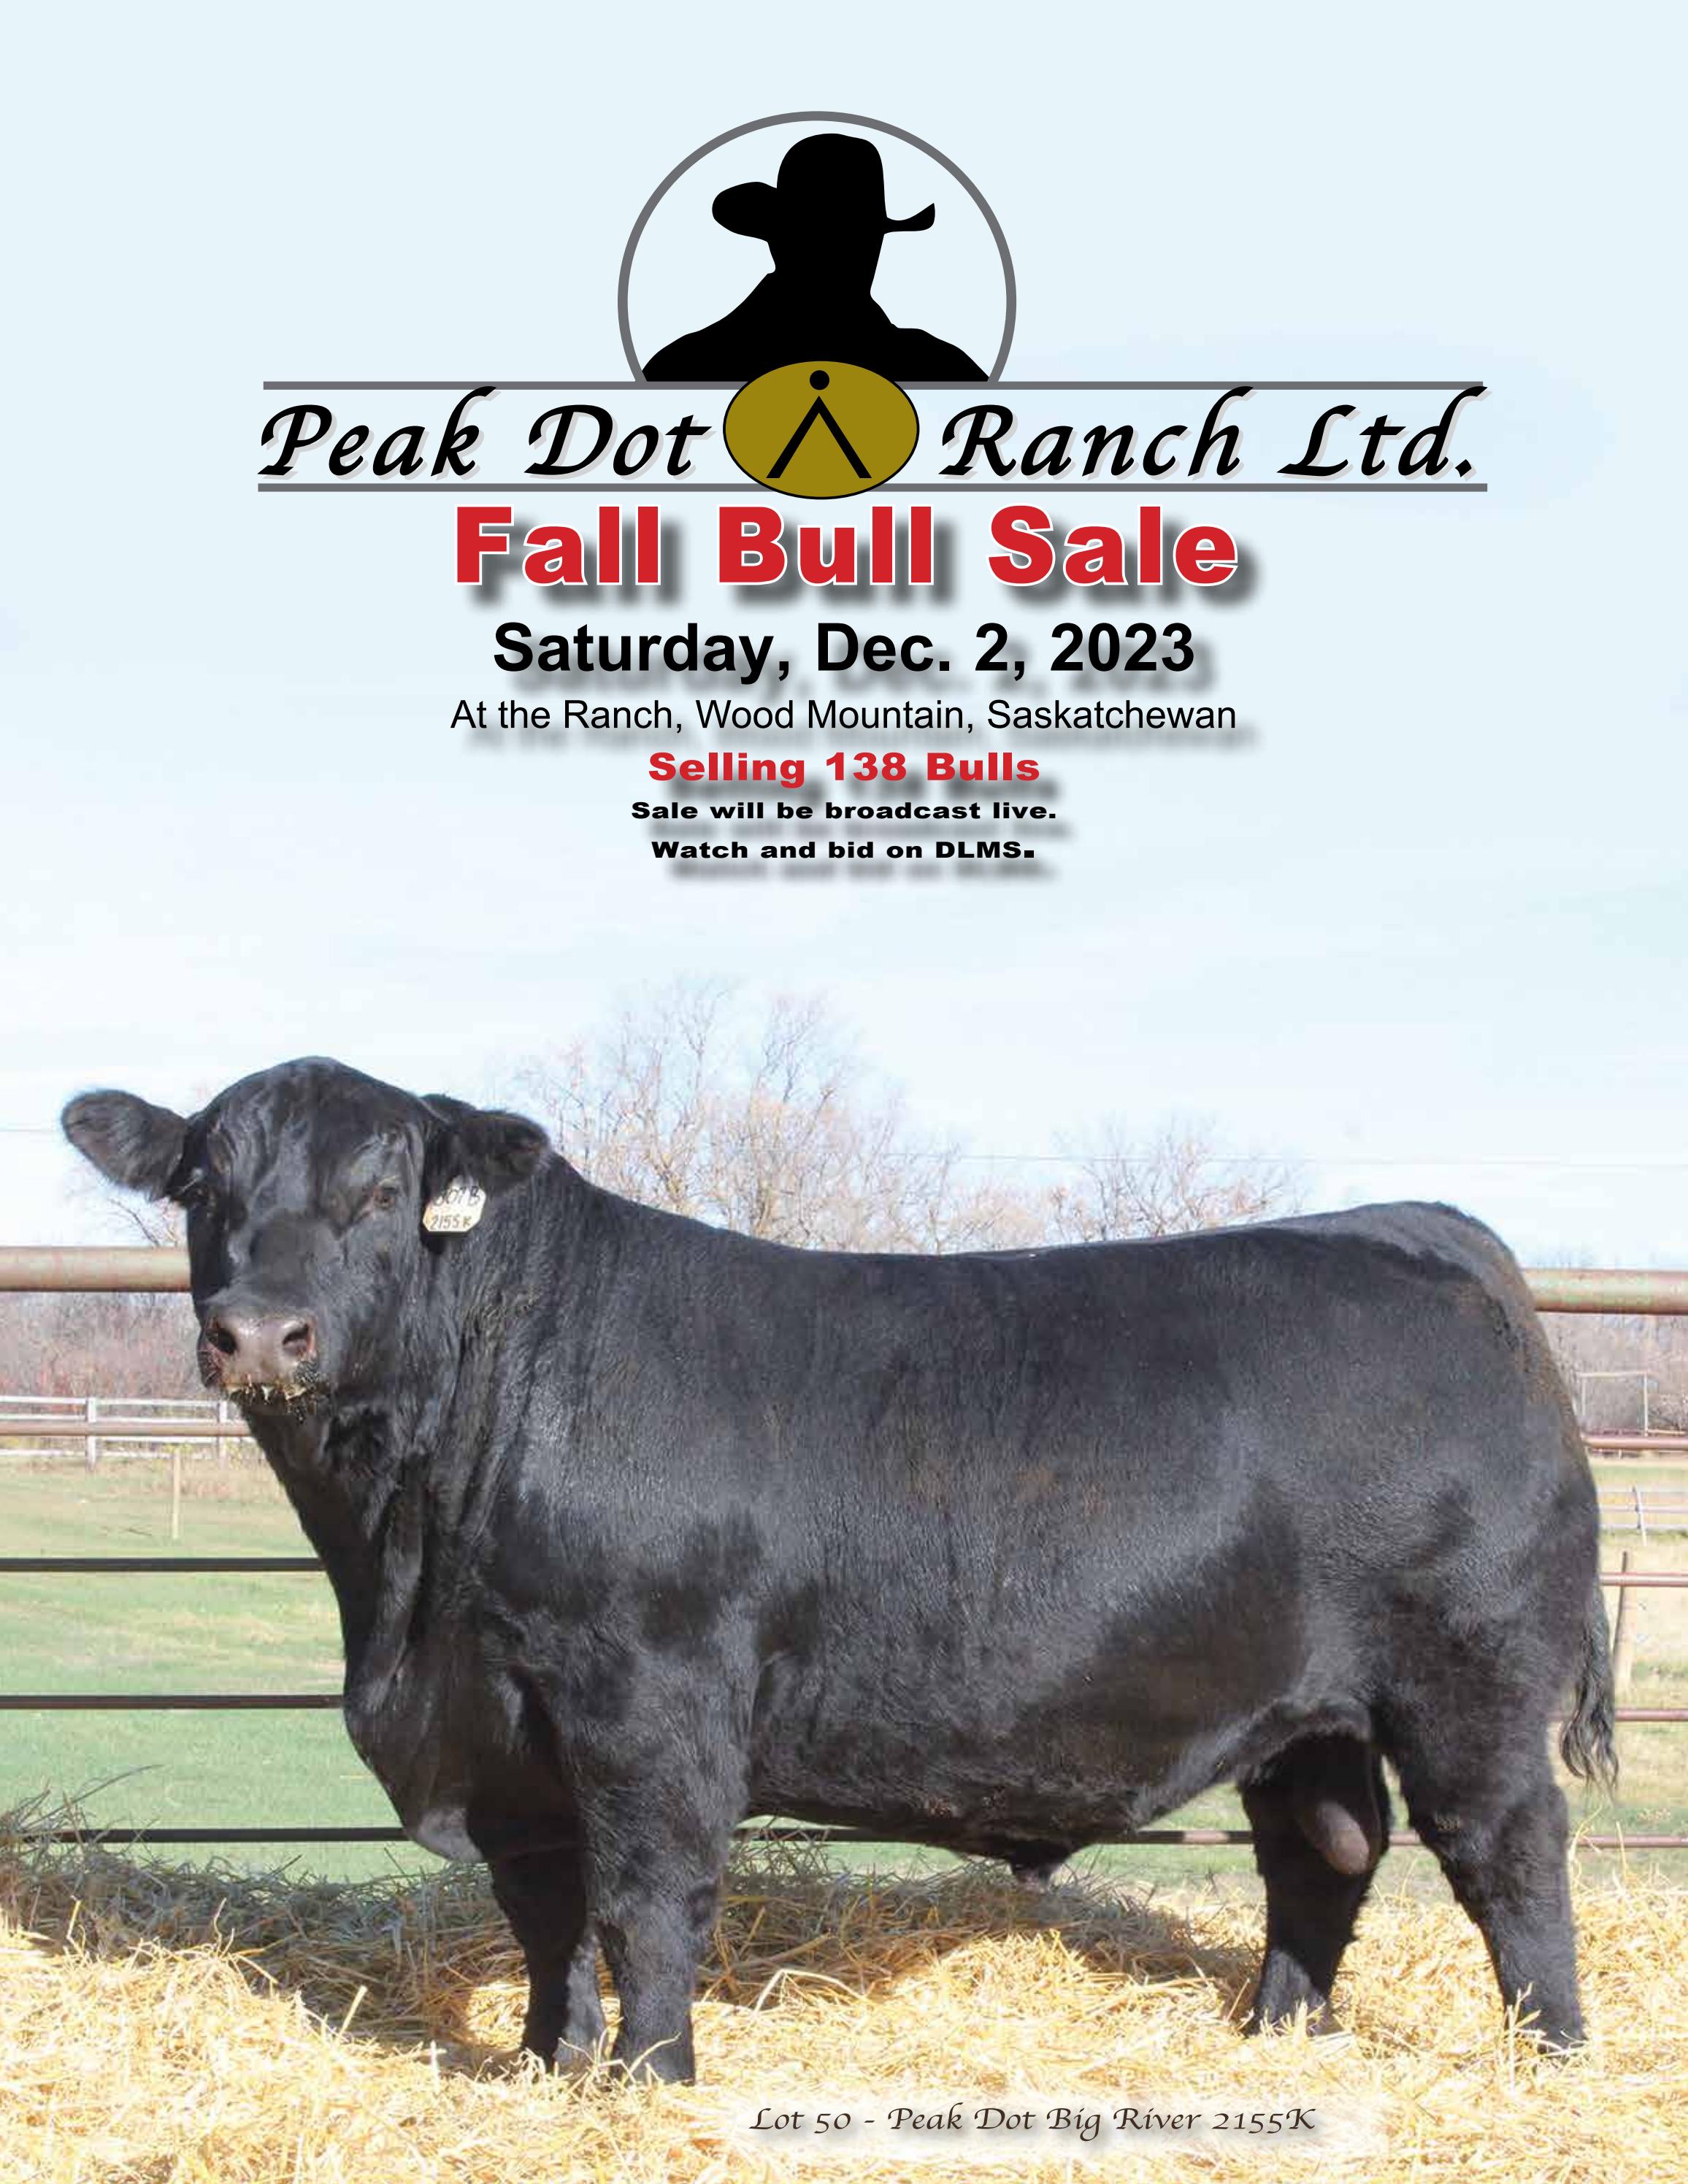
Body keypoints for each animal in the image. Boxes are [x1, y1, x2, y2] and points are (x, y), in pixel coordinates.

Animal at [62, 1057, 1615, 2081]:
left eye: (384, 1191)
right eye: (202, 1183)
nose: (260, 1332)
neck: (405, 1589)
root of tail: (1425, 1229)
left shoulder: (649, 1693)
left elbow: (646, 1898)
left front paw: (654, 2079)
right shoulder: (504, 1732)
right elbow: (546, 1907)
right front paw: (551, 2067)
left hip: (1467, 1674)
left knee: (1505, 1849)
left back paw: (1550, 2052)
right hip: (1304, 1703)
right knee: (1324, 1848)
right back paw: (1274, 2032)